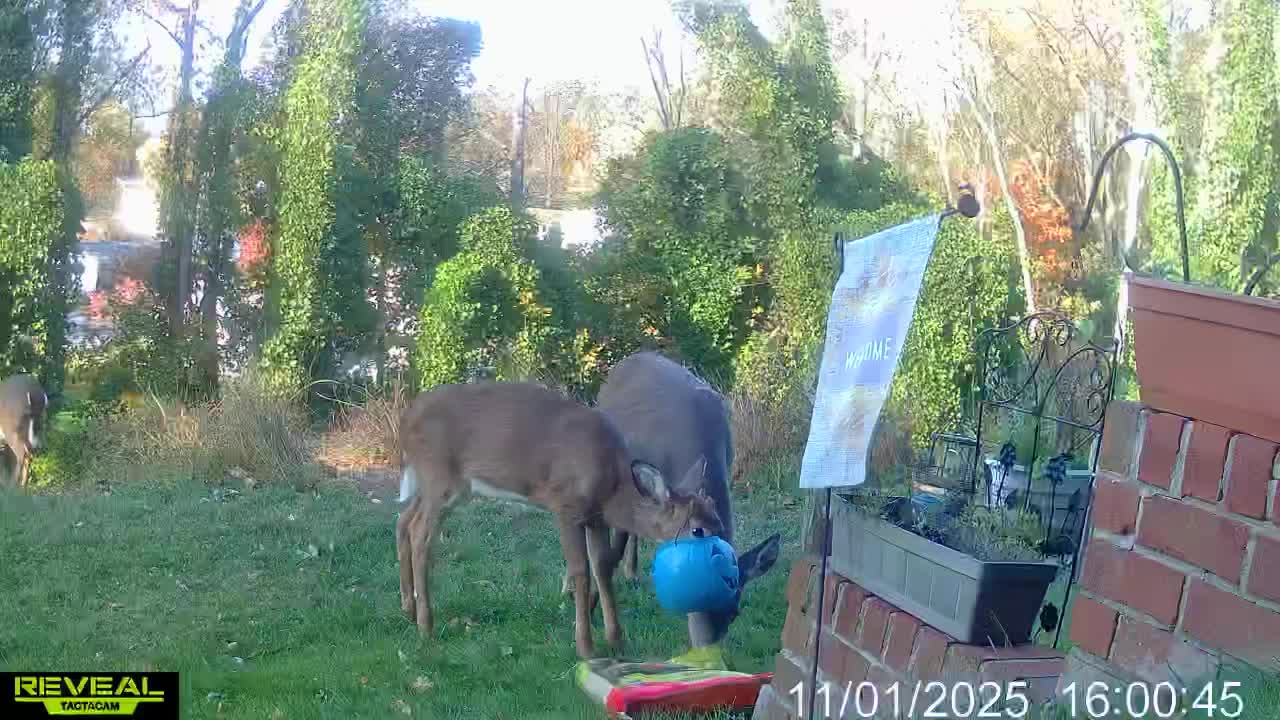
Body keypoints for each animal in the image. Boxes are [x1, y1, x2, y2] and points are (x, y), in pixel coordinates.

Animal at [396, 380, 724, 659]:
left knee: (404, 520)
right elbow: (581, 571)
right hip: (440, 478)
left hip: (439, 485)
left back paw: (408, 609)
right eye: (697, 530)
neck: (612, 485)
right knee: (420, 532)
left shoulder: (597, 518)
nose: (724, 557)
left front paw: (617, 640)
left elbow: (603, 567)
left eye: (716, 515)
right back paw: (426, 626)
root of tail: (405, 421)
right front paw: (586, 647)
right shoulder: (565, 505)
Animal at [570, 351, 781, 650]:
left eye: (734, 612)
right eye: (694, 600)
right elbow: (609, 552)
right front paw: (589, 613)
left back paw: (631, 572)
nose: (706, 650)